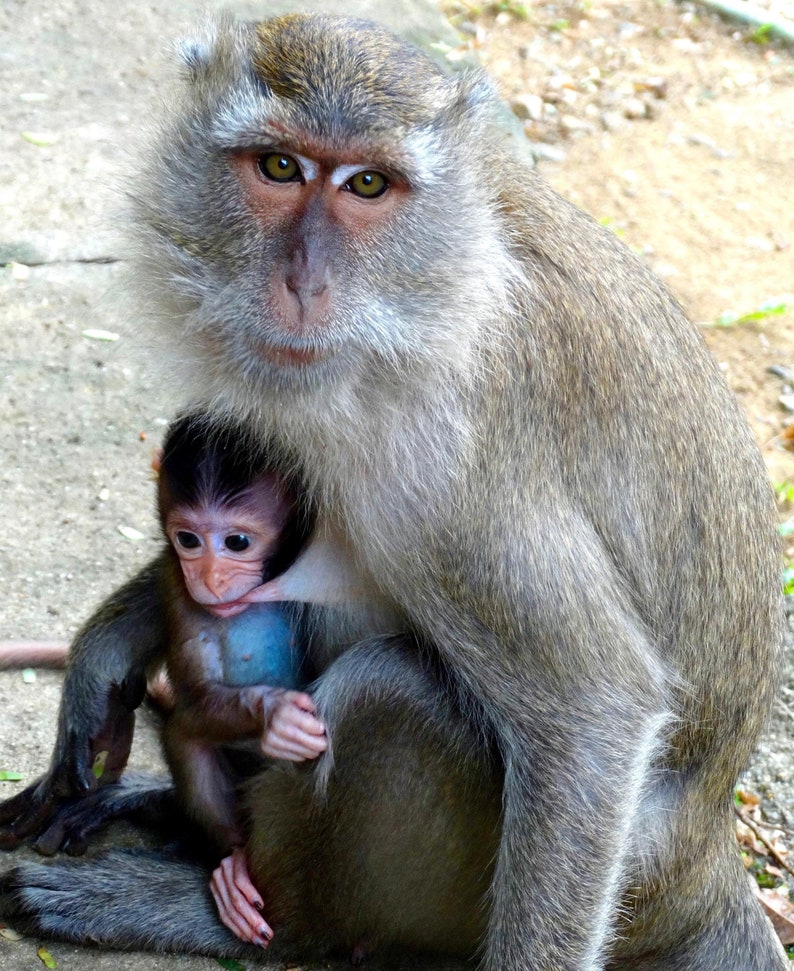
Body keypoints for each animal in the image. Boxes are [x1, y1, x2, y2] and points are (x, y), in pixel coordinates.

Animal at [0, 12, 787, 970]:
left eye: (368, 184)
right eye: (278, 167)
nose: (302, 283)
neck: (428, 299)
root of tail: (708, 864)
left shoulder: (458, 470)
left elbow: (592, 715)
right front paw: (104, 654)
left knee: (387, 689)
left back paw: (227, 910)